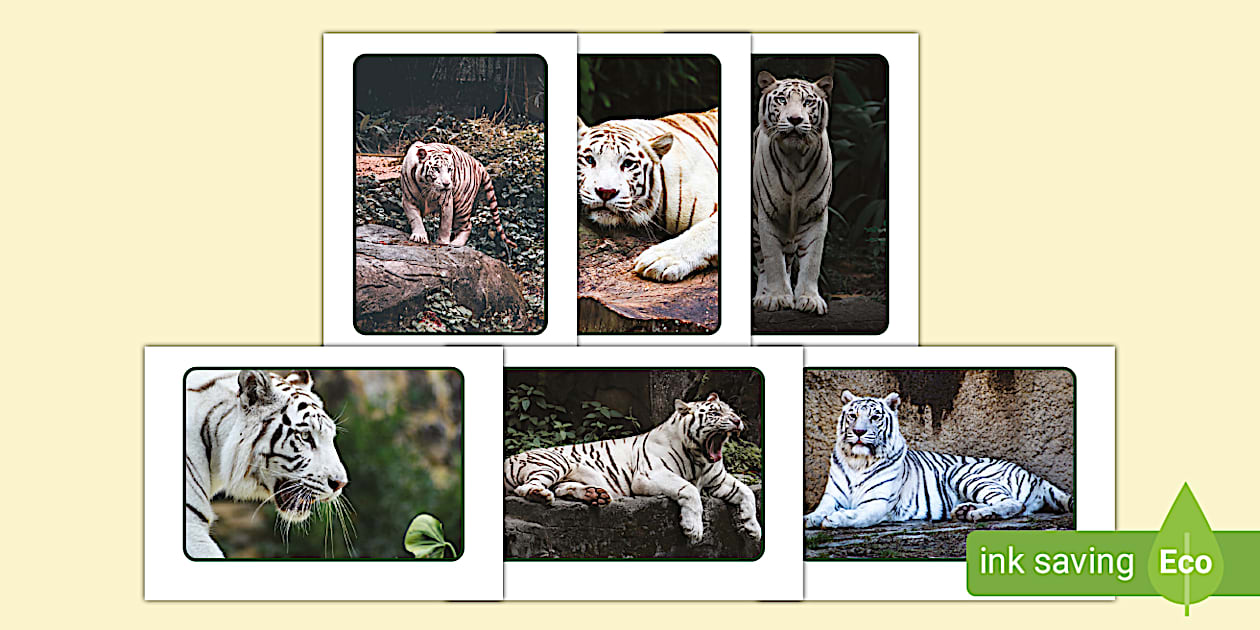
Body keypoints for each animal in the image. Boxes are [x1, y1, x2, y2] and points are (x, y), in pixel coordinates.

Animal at [504, 392, 761, 545]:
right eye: (715, 413)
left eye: (730, 411)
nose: (737, 420)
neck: (700, 458)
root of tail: (508, 459)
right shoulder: (650, 475)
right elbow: (689, 490)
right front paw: (693, 530)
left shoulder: (718, 479)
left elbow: (747, 493)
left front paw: (753, 529)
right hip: (553, 463)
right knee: (527, 488)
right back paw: (541, 494)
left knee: (560, 488)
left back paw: (595, 495)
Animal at [753, 72, 834, 315]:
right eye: (782, 100)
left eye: (807, 102)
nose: (795, 119)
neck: (796, 157)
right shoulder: (769, 215)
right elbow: (772, 261)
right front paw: (777, 297)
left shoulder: (816, 214)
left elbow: (812, 261)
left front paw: (809, 299)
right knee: (763, 263)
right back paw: (763, 295)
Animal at [804, 391, 1073, 529]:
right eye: (853, 415)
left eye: (875, 417)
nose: (859, 432)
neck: (858, 461)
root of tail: (1035, 476)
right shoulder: (831, 497)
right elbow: (819, 511)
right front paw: (812, 519)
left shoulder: (877, 503)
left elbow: (858, 515)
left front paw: (834, 519)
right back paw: (966, 510)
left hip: (963, 473)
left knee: (1015, 504)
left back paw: (979, 515)